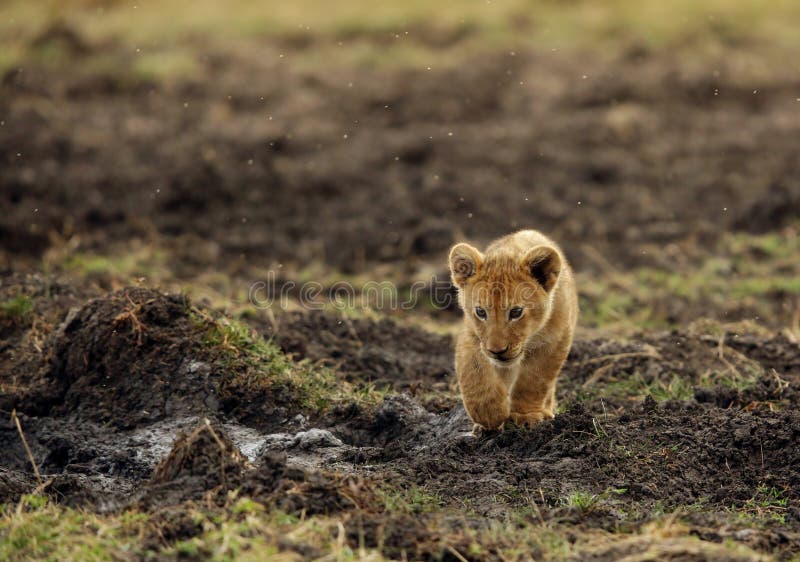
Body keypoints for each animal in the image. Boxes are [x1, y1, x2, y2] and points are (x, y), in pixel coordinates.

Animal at [448, 230, 578, 430]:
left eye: (516, 312)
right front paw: (489, 414)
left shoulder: (555, 341)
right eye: (481, 312)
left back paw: (546, 412)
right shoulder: (472, 335)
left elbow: (534, 380)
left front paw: (525, 416)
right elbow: (474, 372)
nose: (497, 351)